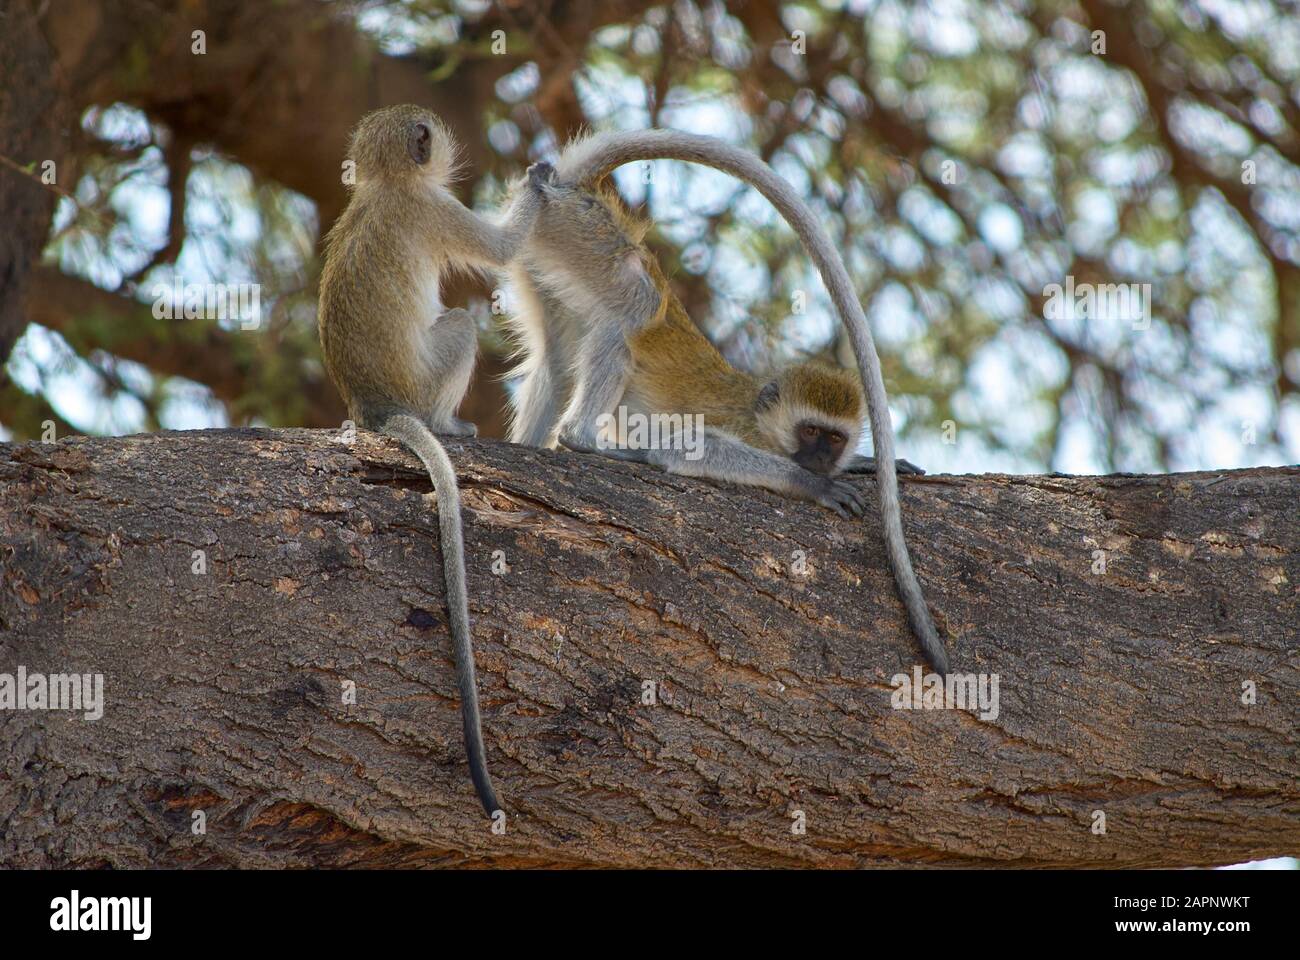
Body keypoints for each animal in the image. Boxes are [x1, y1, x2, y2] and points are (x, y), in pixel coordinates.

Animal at [318, 104, 552, 816]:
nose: (443, 140)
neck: (386, 185)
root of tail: (375, 408)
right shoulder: (433, 207)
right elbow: (500, 253)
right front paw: (538, 178)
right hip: (431, 376)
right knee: (460, 327)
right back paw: (451, 425)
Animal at [507, 138, 949, 674]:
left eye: (835, 438)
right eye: (810, 432)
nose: (821, 458)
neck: (763, 419)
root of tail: (580, 192)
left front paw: (864, 463)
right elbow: (686, 447)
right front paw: (811, 483)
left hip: (553, 241)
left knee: (554, 360)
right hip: (590, 240)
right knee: (637, 304)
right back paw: (583, 440)